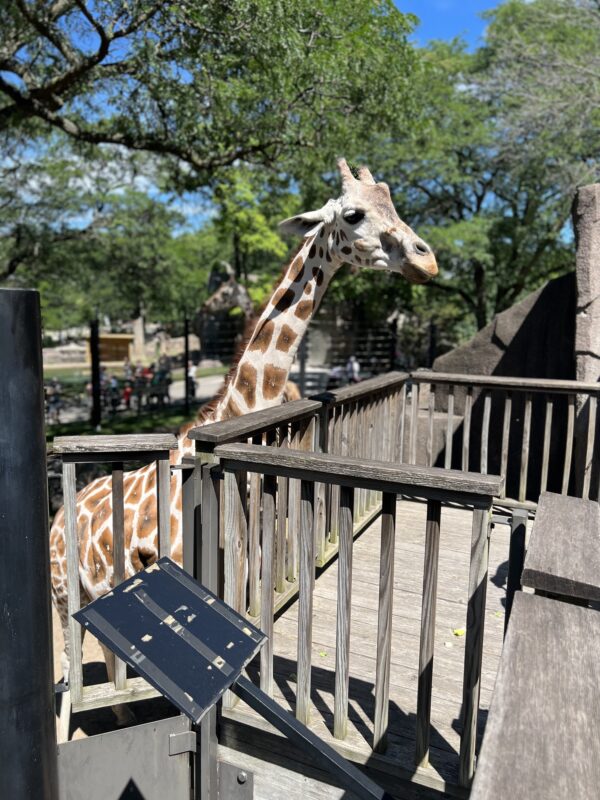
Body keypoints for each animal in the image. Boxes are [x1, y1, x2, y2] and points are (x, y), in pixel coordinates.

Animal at [49, 159, 437, 730]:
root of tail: (58, 518)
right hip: (64, 599)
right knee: (71, 685)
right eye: (353, 213)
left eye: (393, 202)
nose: (426, 260)